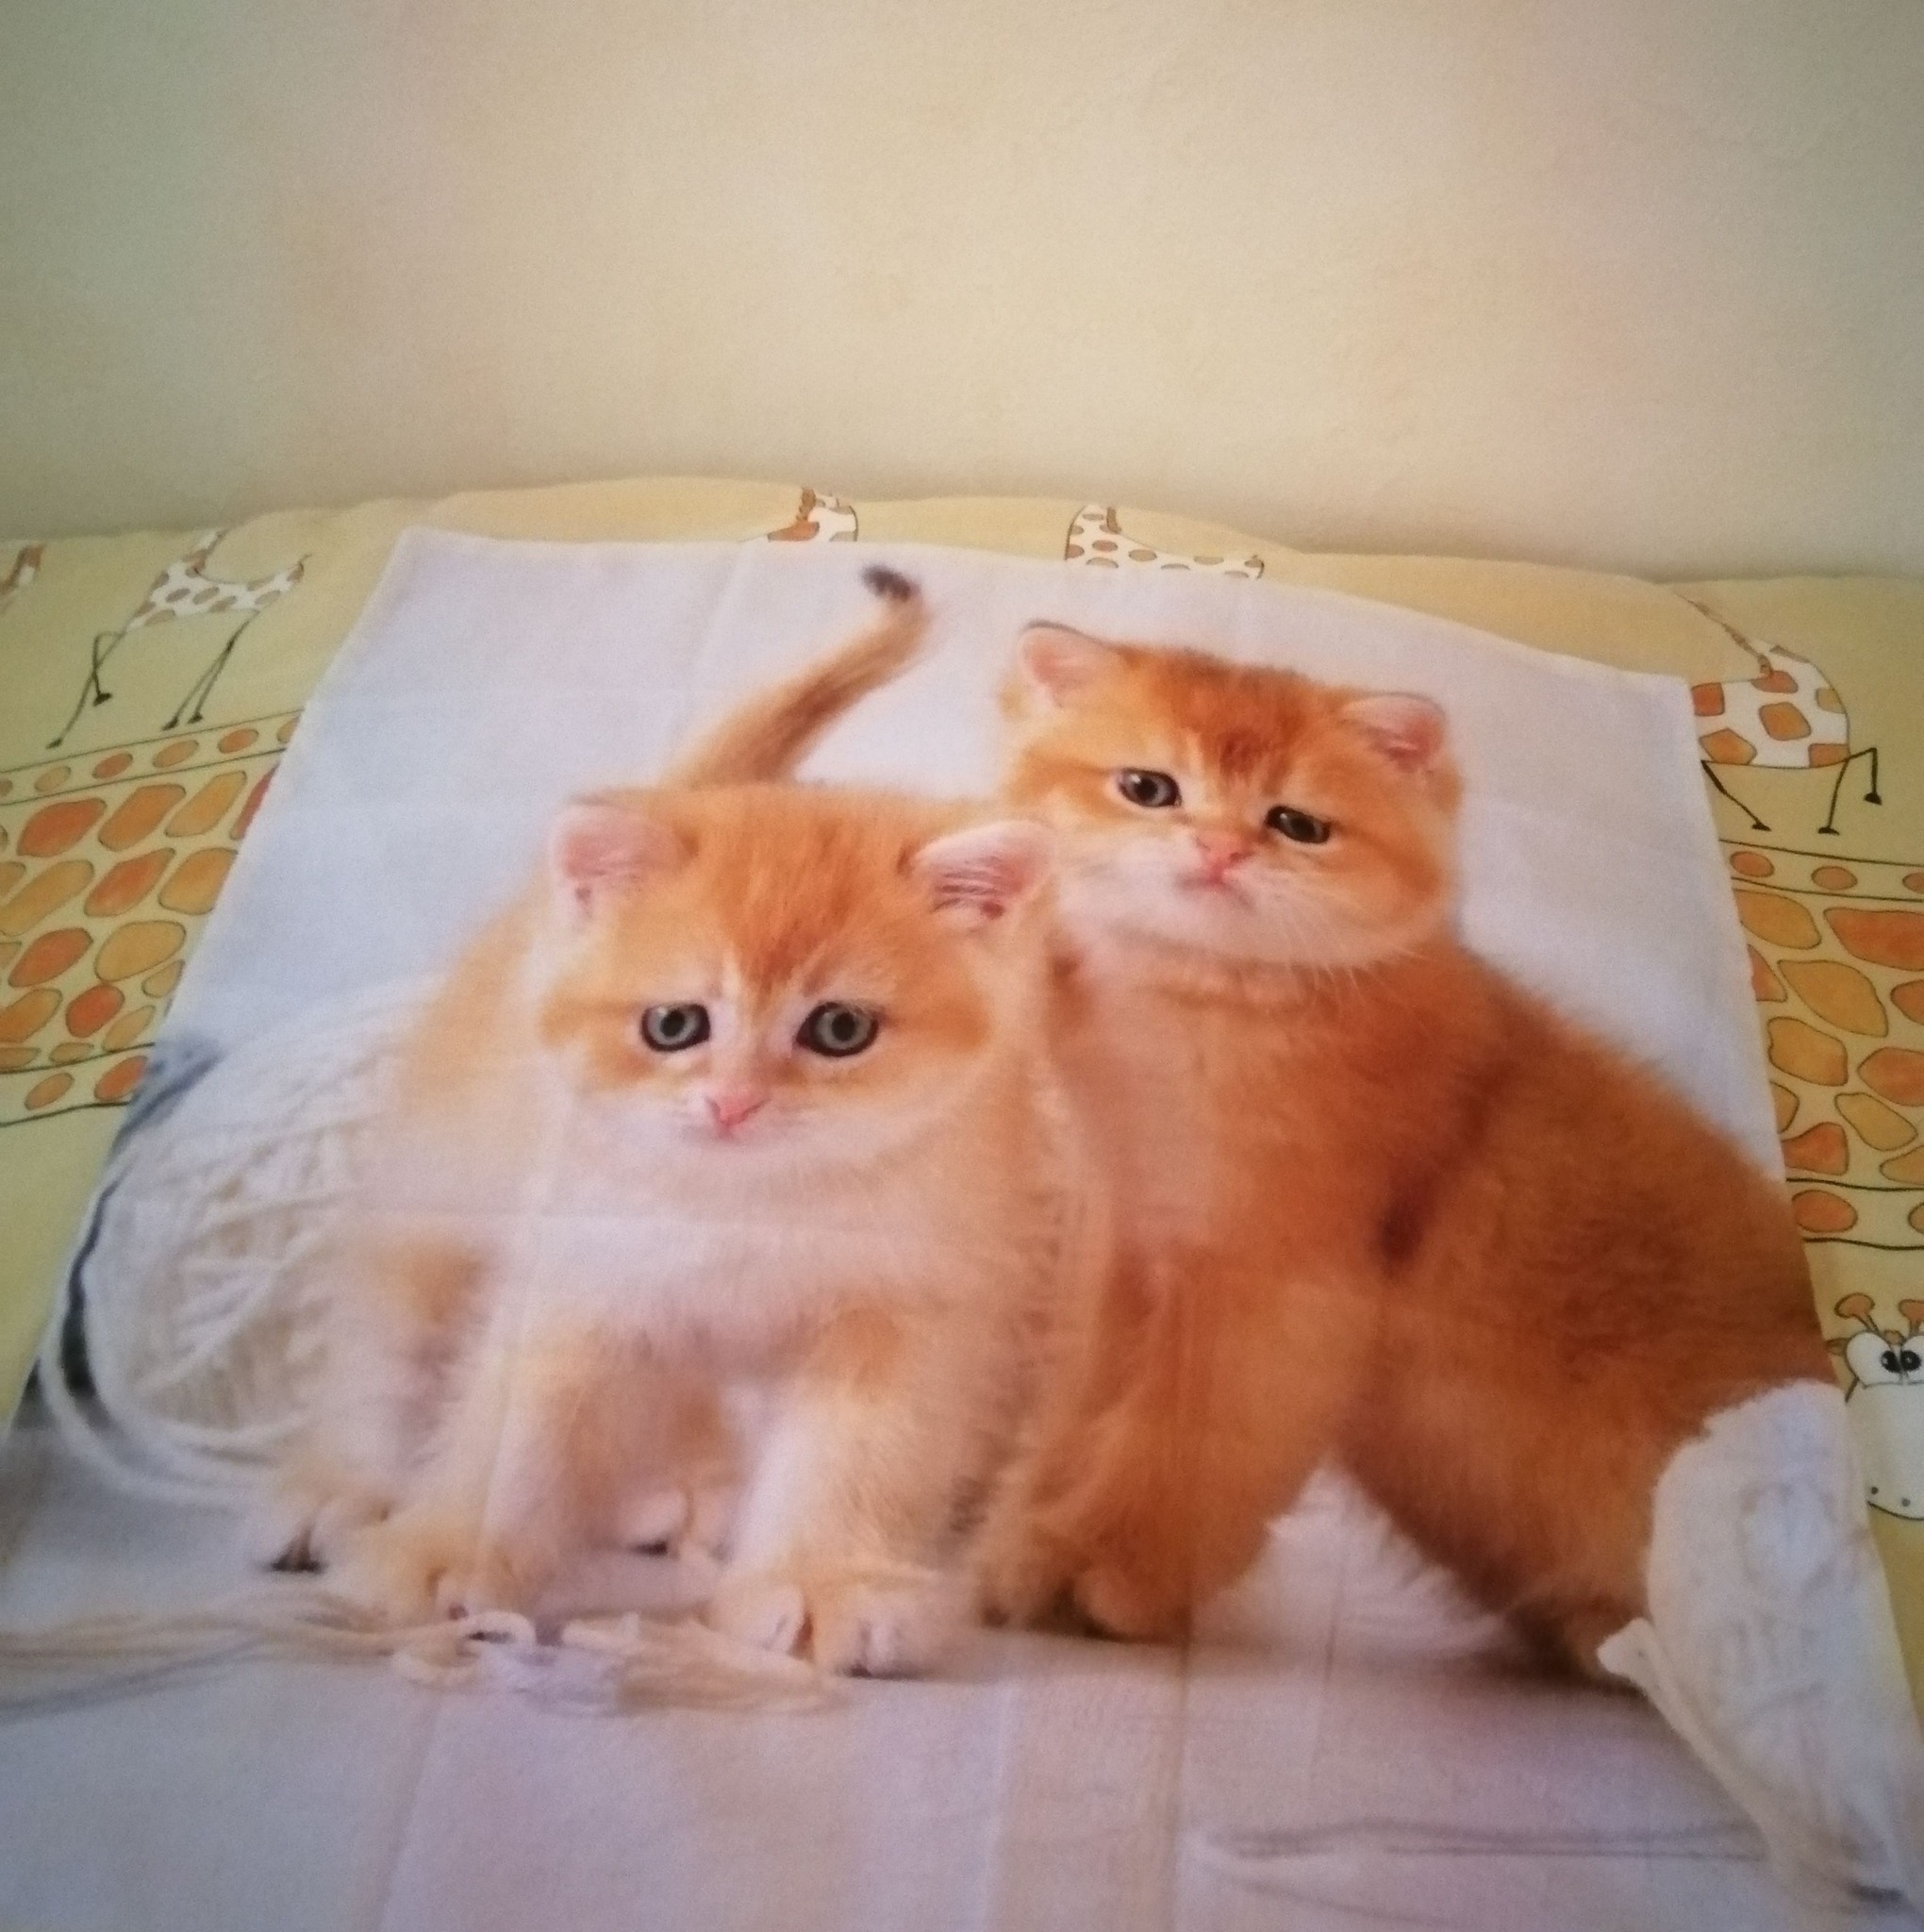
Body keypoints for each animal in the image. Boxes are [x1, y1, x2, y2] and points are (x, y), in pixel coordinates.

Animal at [49, 530, 307, 749]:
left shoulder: (244, 617)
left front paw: (184, 717)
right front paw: (177, 719)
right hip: (148, 614)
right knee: (107, 639)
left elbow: (225, 649)